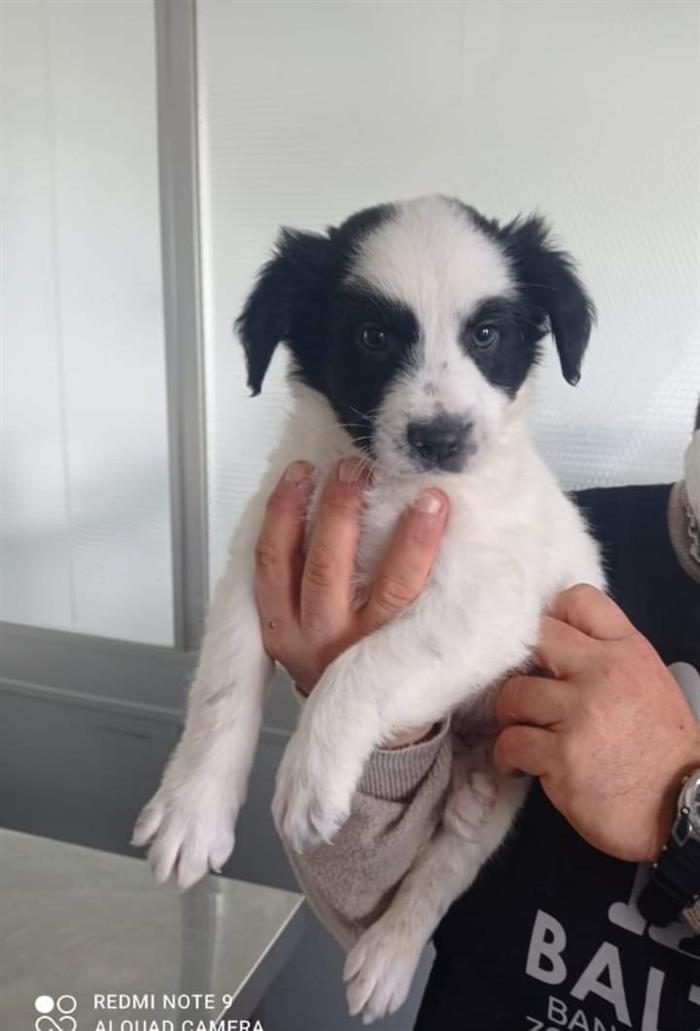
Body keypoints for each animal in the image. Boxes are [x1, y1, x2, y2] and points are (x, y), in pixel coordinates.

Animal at [134, 193, 606, 1022]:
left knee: (446, 868)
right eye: (373, 336)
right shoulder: (259, 554)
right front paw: (193, 808)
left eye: (487, 334)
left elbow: (366, 661)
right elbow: (222, 687)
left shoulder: (492, 605)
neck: (393, 489)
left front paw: (312, 771)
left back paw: (390, 951)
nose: (442, 437)